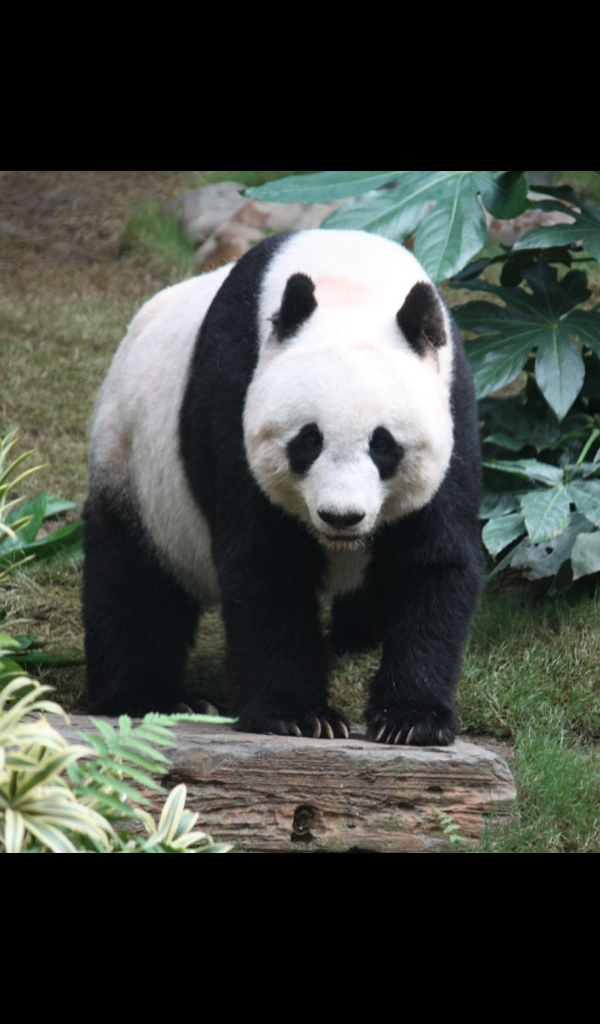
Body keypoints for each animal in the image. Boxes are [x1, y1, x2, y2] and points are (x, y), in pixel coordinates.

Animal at [83, 229, 483, 745]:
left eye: (383, 445)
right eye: (308, 441)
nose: (341, 516)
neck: (349, 278)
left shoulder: (454, 407)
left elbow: (431, 561)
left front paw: (411, 720)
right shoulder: (233, 393)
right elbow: (267, 563)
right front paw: (300, 716)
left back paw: (355, 638)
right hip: (134, 464)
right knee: (133, 581)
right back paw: (152, 697)